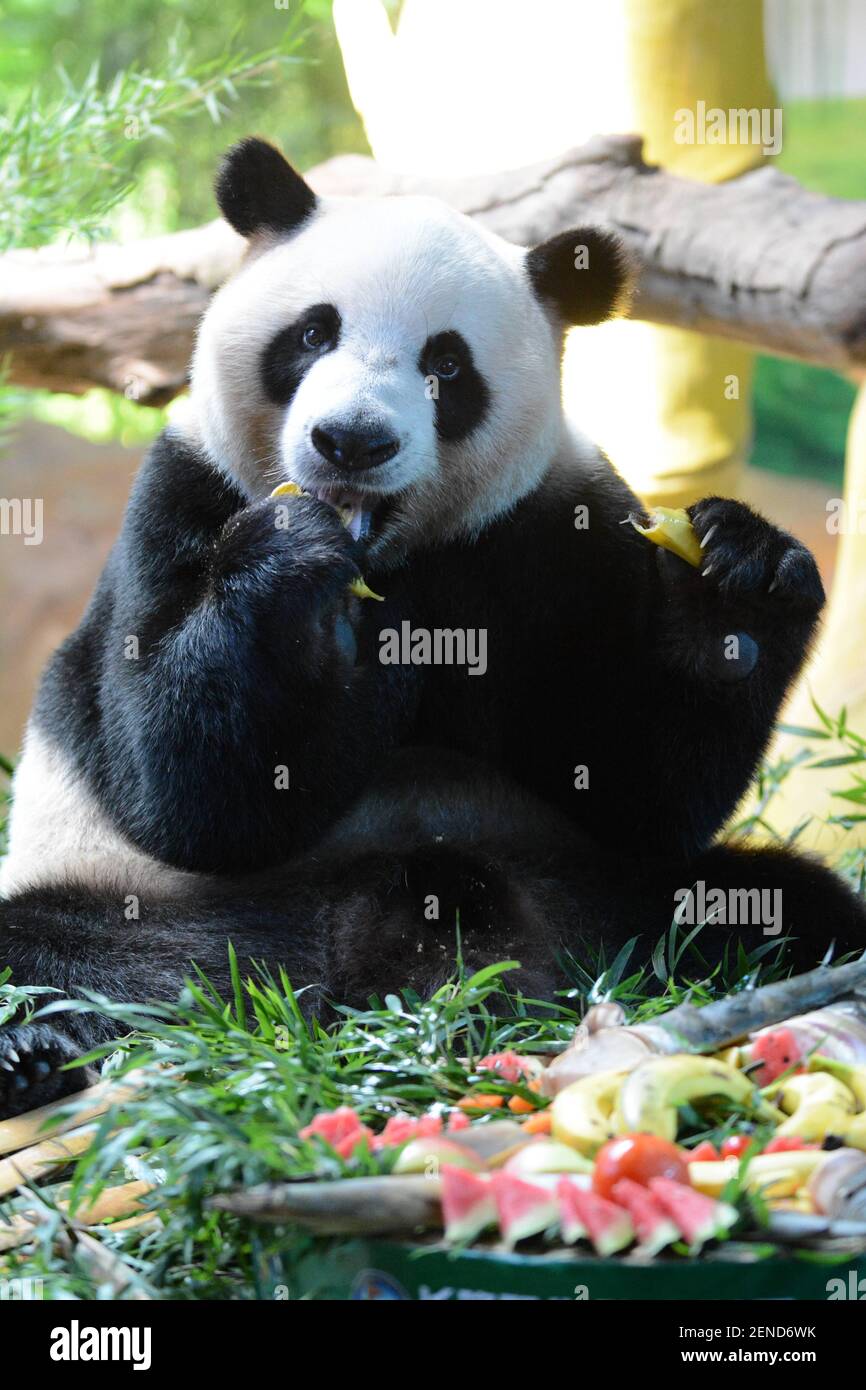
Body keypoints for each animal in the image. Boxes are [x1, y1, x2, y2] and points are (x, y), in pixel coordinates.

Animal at [0, 137, 862, 1118]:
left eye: (446, 367)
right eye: (313, 334)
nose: (352, 441)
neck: (390, 549)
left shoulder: (553, 533)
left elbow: (642, 786)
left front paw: (740, 581)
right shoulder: (183, 495)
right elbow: (180, 787)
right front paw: (299, 577)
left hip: (594, 893)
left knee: (772, 905)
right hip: (160, 910)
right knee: (71, 954)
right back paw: (38, 1050)